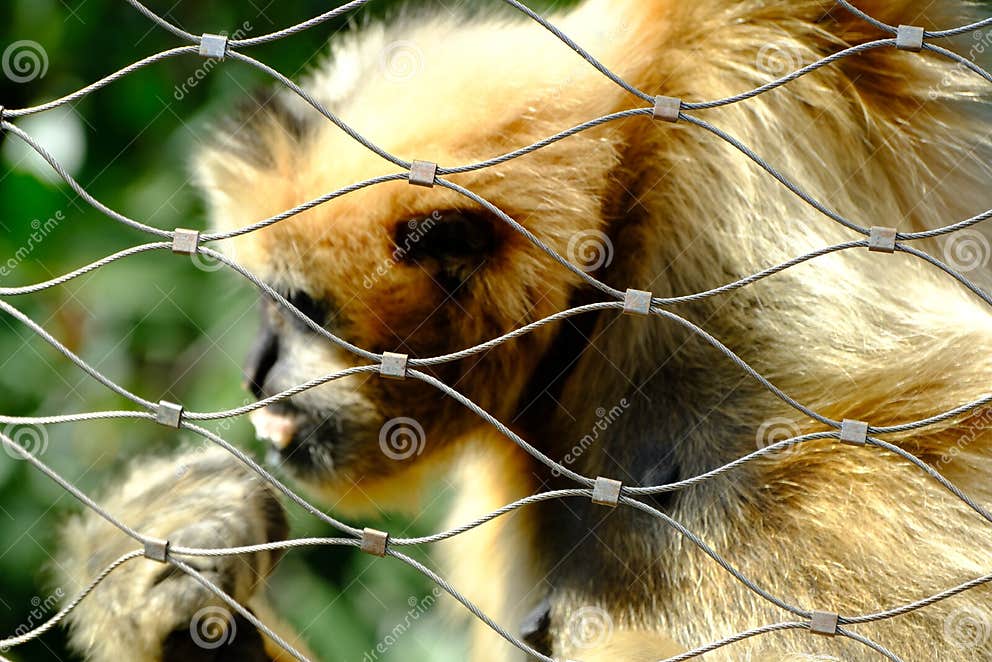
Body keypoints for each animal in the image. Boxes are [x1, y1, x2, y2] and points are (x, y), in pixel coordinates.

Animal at [55, 0, 992, 660]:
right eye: (265, 307)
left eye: (295, 307)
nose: (254, 369)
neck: (601, 304)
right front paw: (164, 593)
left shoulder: (747, 85)